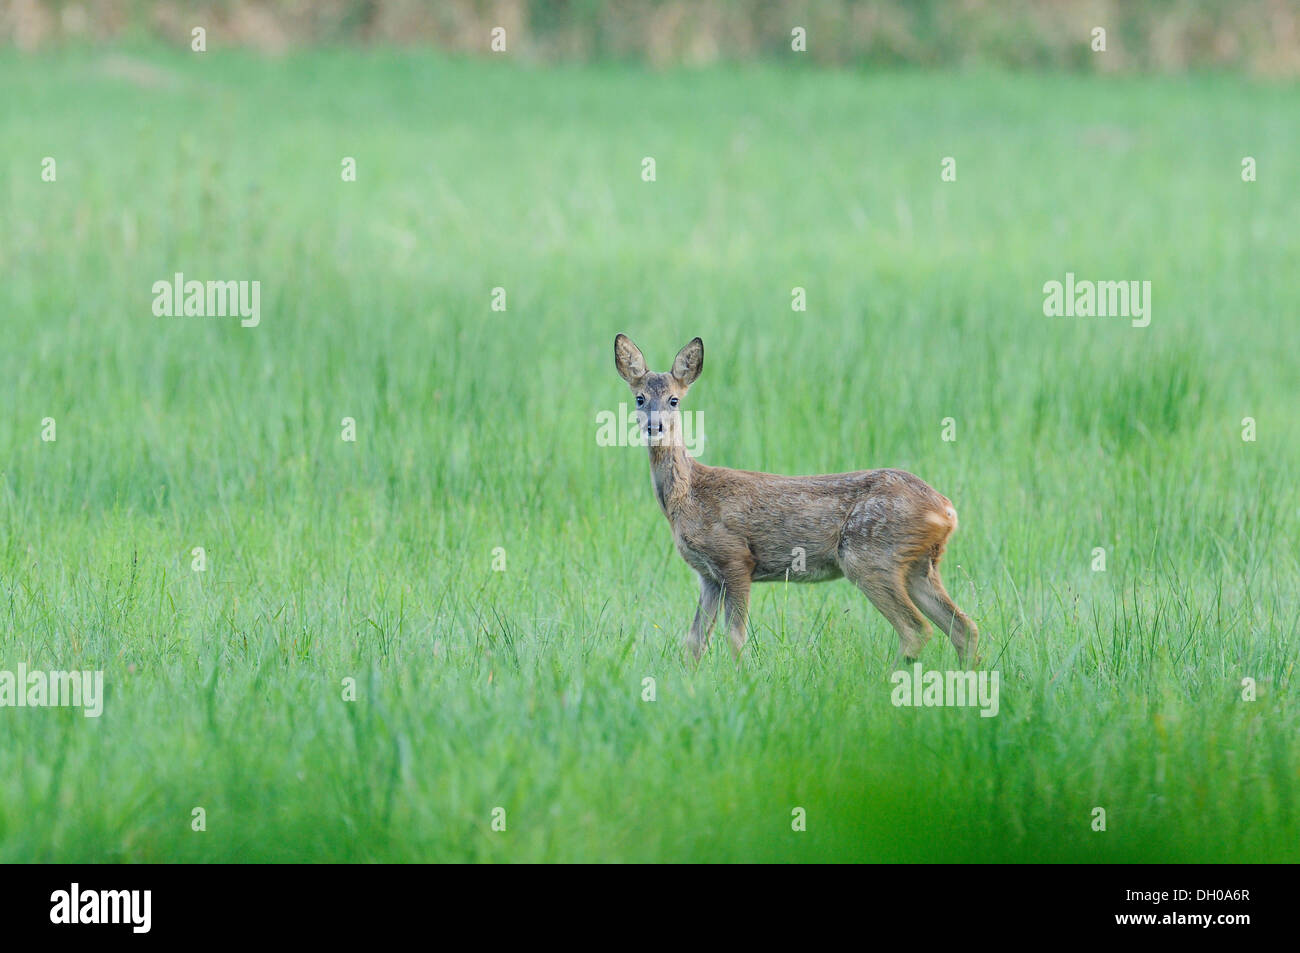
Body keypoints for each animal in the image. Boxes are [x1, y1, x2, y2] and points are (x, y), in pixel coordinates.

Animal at [613, 334, 979, 668]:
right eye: (640, 398)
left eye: (674, 400)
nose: (654, 426)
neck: (689, 496)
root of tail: (947, 511)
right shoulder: (708, 575)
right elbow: (694, 641)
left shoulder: (735, 558)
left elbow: (735, 637)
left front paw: (739, 679)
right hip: (919, 566)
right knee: (964, 627)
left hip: (871, 557)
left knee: (916, 629)